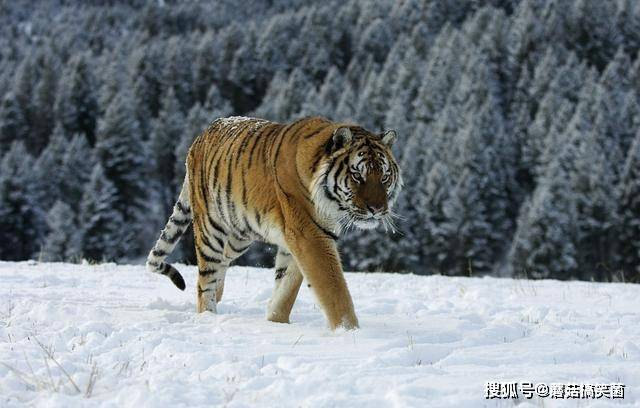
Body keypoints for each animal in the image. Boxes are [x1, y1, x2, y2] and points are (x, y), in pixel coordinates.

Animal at [146, 116, 402, 330]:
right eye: (357, 176)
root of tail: (200, 136)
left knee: (221, 264)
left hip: (239, 236)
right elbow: (334, 290)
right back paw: (208, 316)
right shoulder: (310, 236)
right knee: (205, 280)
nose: (378, 210)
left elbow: (286, 288)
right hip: (211, 230)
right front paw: (349, 333)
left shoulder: (300, 239)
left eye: (384, 177)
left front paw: (275, 322)